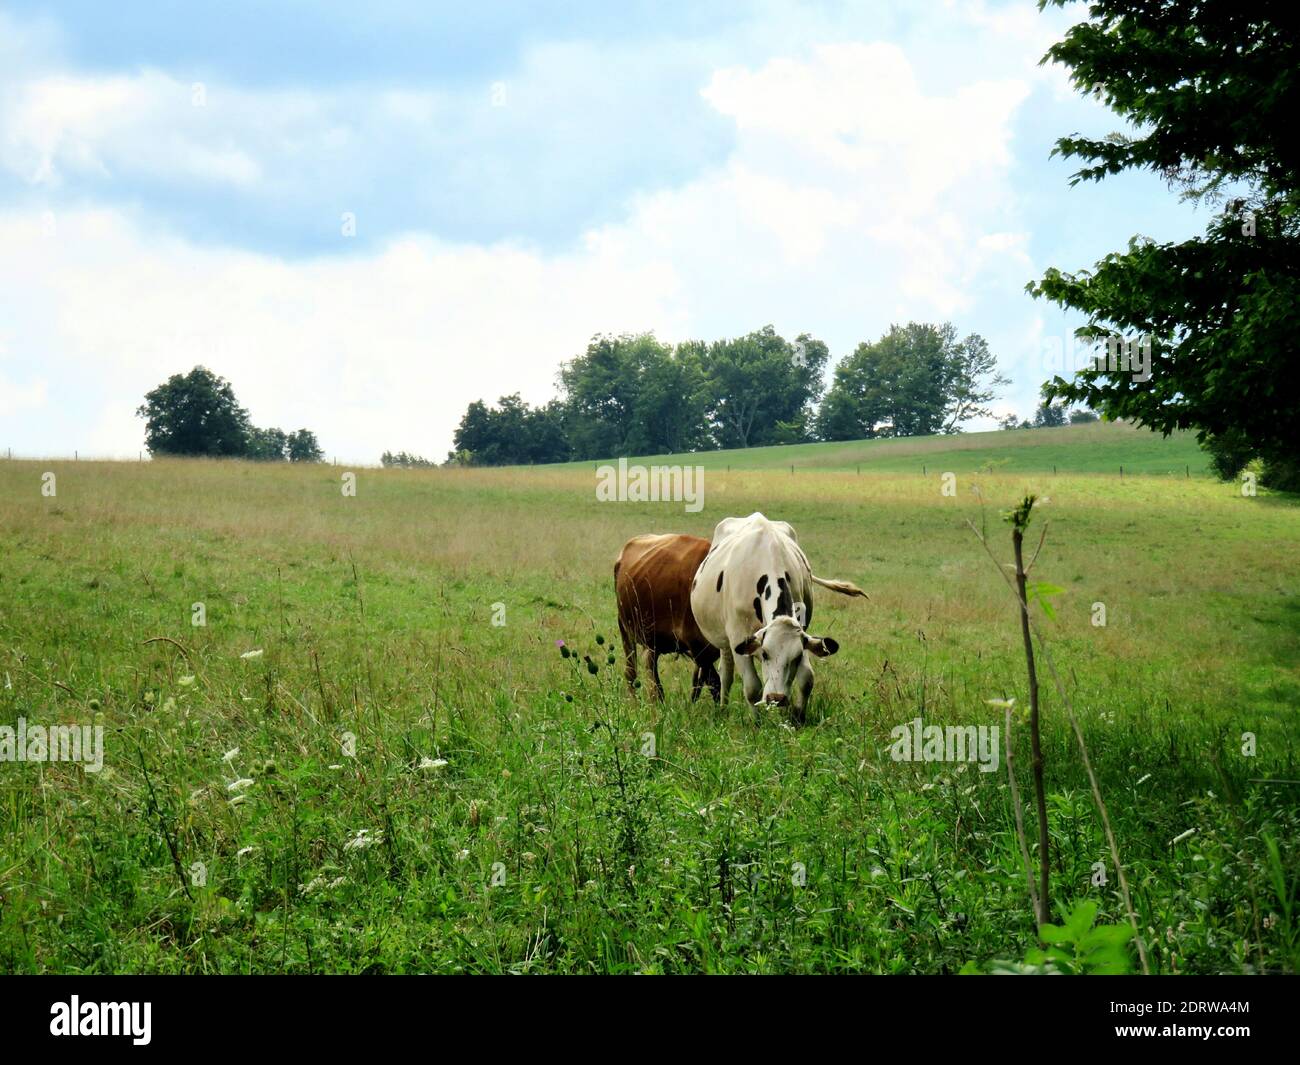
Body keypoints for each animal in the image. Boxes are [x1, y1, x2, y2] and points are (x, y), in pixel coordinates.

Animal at [615, 533, 722, 703]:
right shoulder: (699, 647)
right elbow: (712, 682)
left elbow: (706, 684)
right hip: (626, 630)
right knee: (632, 673)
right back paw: (635, 703)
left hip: (654, 641)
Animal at [689, 512, 866, 719]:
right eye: (765, 653)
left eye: (796, 657)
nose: (776, 698)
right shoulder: (737, 637)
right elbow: (752, 687)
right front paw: (756, 723)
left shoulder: (802, 634)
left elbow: (806, 679)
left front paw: (797, 717)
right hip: (723, 640)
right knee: (726, 673)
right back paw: (723, 709)